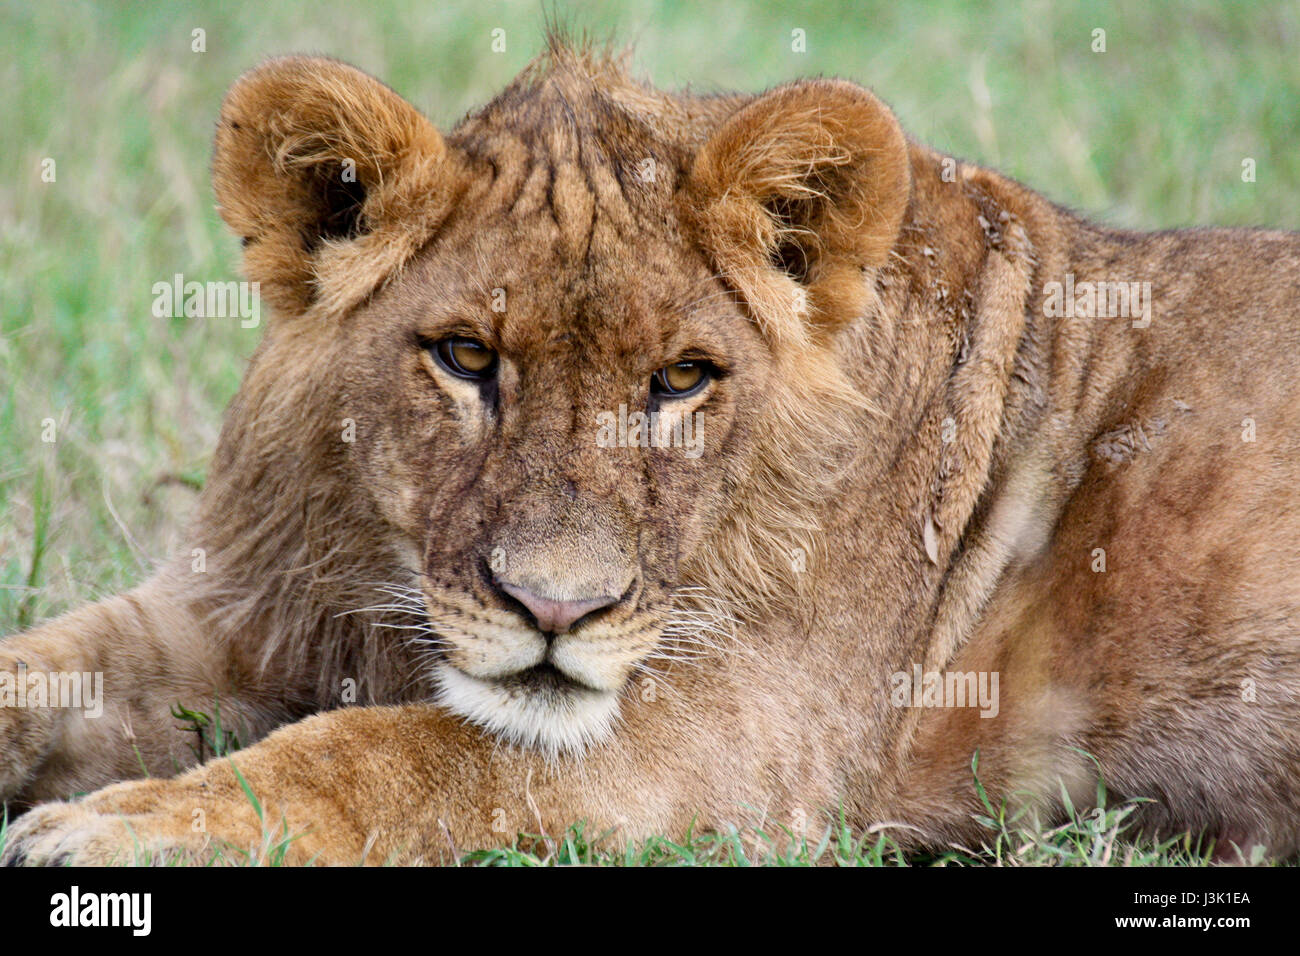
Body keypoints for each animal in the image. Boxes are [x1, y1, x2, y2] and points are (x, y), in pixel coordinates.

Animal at [3, 36, 1300, 865]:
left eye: (680, 379)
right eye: (465, 356)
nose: (554, 609)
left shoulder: (734, 737)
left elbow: (391, 751)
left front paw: (123, 826)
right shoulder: (234, 609)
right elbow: (40, 666)